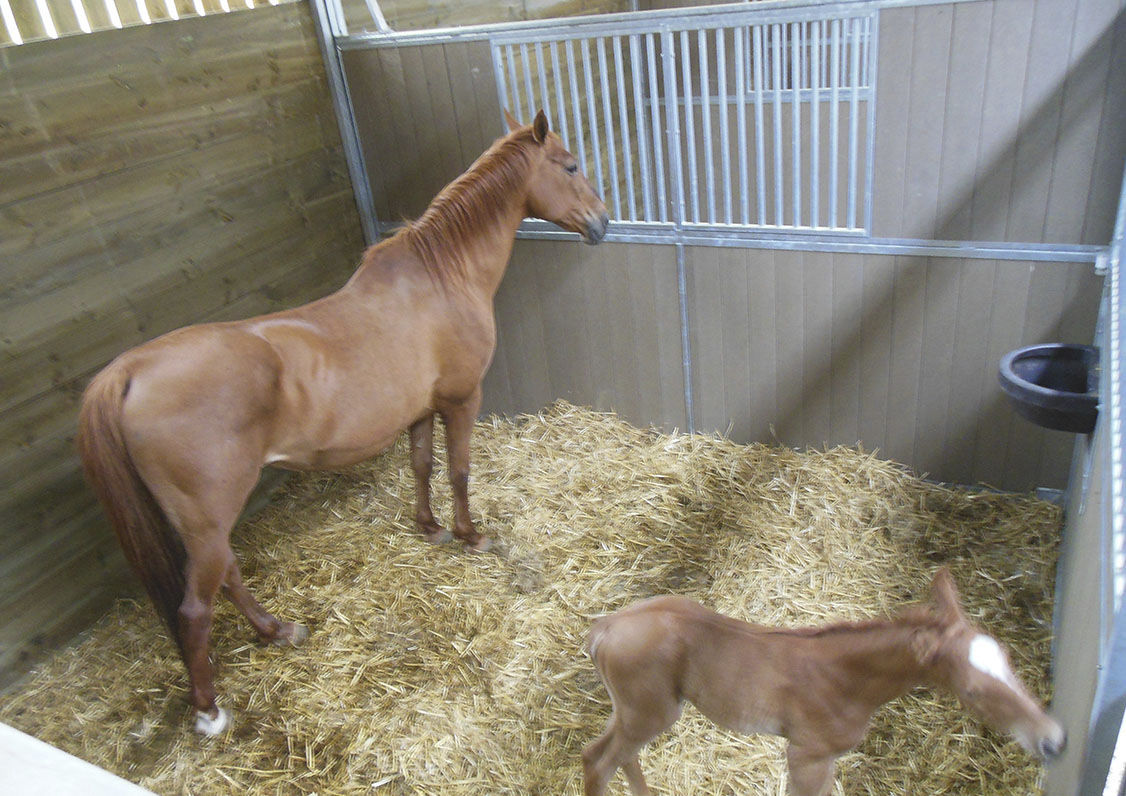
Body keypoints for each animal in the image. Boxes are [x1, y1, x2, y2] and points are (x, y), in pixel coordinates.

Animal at [77, 109, 608, 736]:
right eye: (569, 165)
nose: (602, 223)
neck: (440, 280)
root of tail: (130, 372)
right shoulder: (461, 400)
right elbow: (458, 469)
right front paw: (469, 534)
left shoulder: (420, 410)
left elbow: (422, 465)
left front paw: (429, 528)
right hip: (206, 520)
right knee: (195, 608)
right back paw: (209, 711)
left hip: (204, 524)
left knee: (228, 575)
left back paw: (278, 630)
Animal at [582, 568, 1065, 796]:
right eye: (971, 691)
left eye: (1008, 660)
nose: (1054, 741)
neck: (845, 679)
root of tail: (605, 627)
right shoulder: (807, 753)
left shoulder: (827, 757)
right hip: (650, 713)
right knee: (601, 763)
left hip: (632, 710)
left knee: (601, 753)